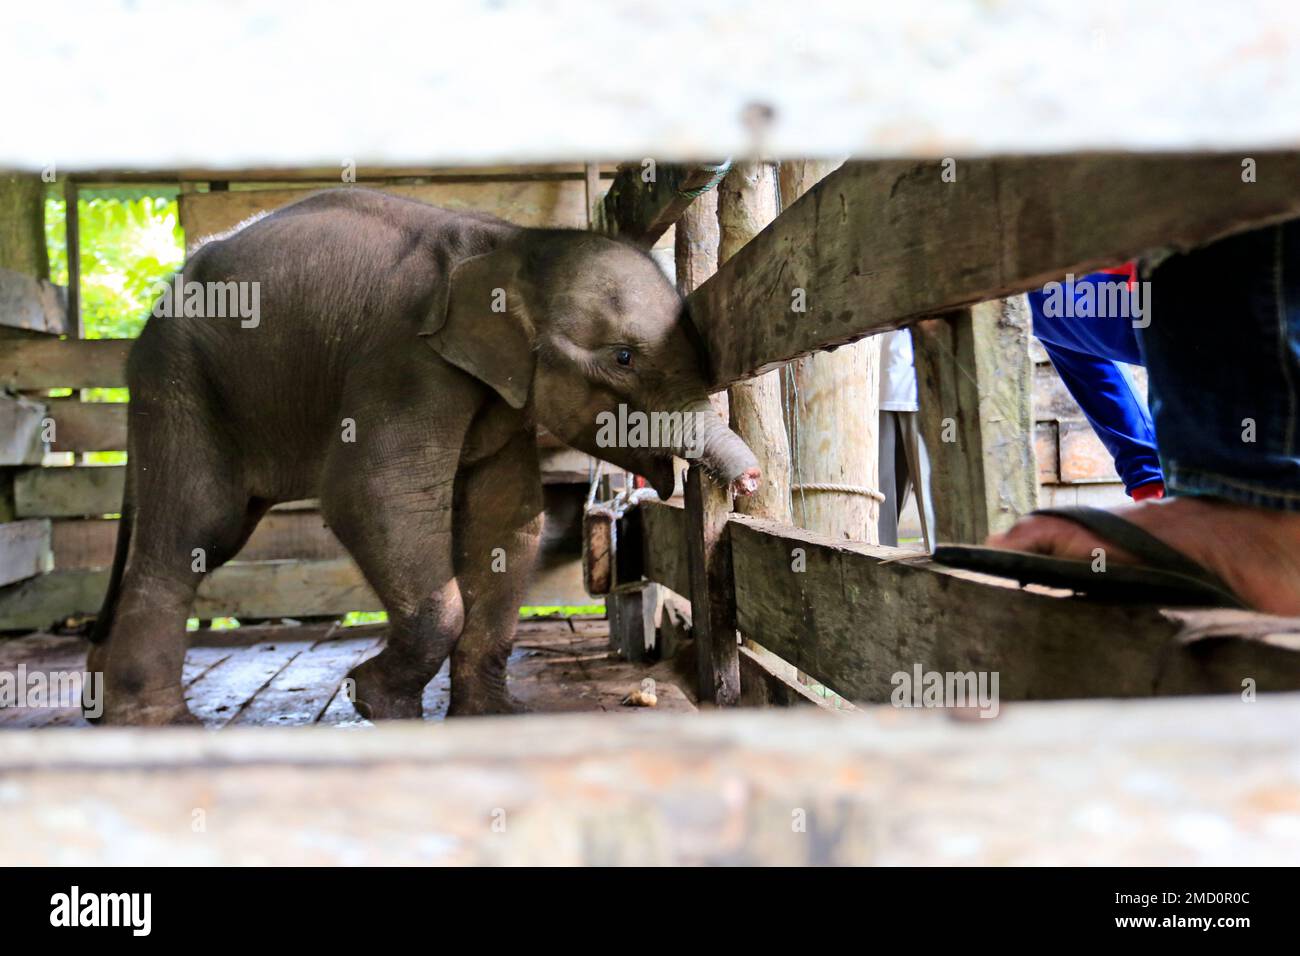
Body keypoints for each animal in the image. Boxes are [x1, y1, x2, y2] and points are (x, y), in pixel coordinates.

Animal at [86, 187, 762, 725]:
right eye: (623, 358)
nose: (752, 479)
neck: (510, 245)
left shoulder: (498, 395)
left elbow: (507, 516)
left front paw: (489, 717)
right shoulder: (405, 360)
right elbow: (375, 494)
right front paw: (372, 701)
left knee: (210, 536)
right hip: (180, 378)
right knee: (196, 529)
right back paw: (156, 723)